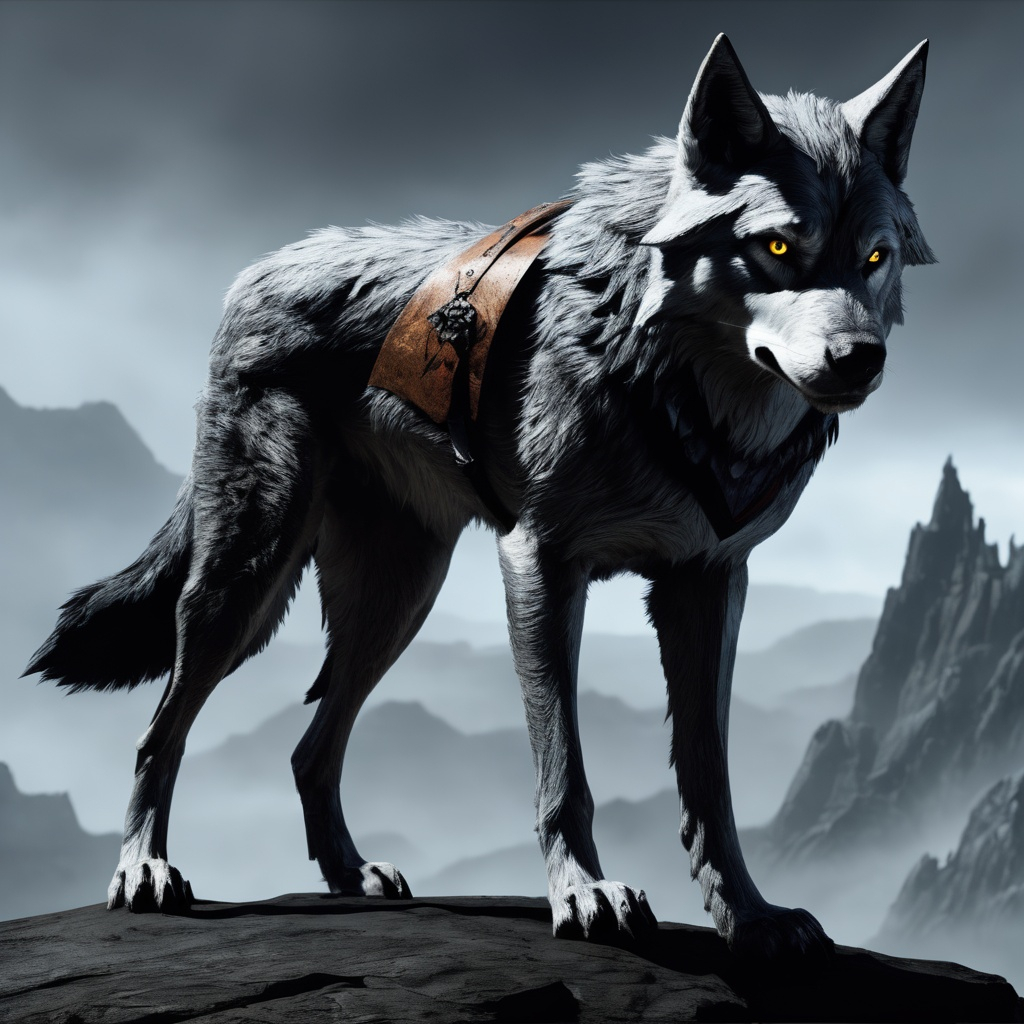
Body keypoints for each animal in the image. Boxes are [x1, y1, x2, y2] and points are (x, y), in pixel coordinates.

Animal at [27, 35, 932, 959]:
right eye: (779, 249)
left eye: (874, 258)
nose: (859, 359)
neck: (671, 386)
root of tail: (256, 269)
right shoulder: (541, 565)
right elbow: (564, 768)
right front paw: (584, 894)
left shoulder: (709, 583)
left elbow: (710, 780)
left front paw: (749, 915)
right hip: (247, 585)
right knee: (159, 730)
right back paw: (143, 870)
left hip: (395, 604)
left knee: (310, 748)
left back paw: (349, 875)